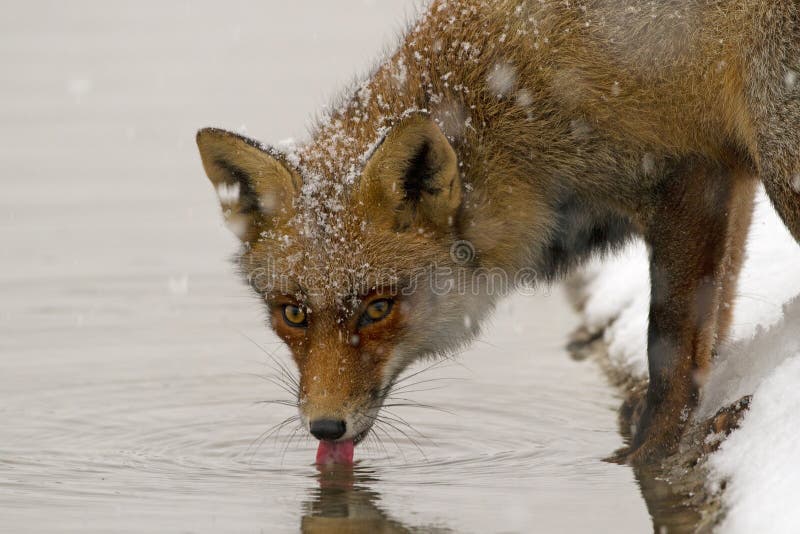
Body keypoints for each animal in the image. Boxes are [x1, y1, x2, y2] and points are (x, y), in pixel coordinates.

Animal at [196, 0, 800, 464]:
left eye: (378, 308)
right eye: (293, 314)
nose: (325, 428)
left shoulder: (688, 173)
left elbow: (669, 342)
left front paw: (653, 450)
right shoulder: (727, 174)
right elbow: (717, 314)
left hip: (781, 156)